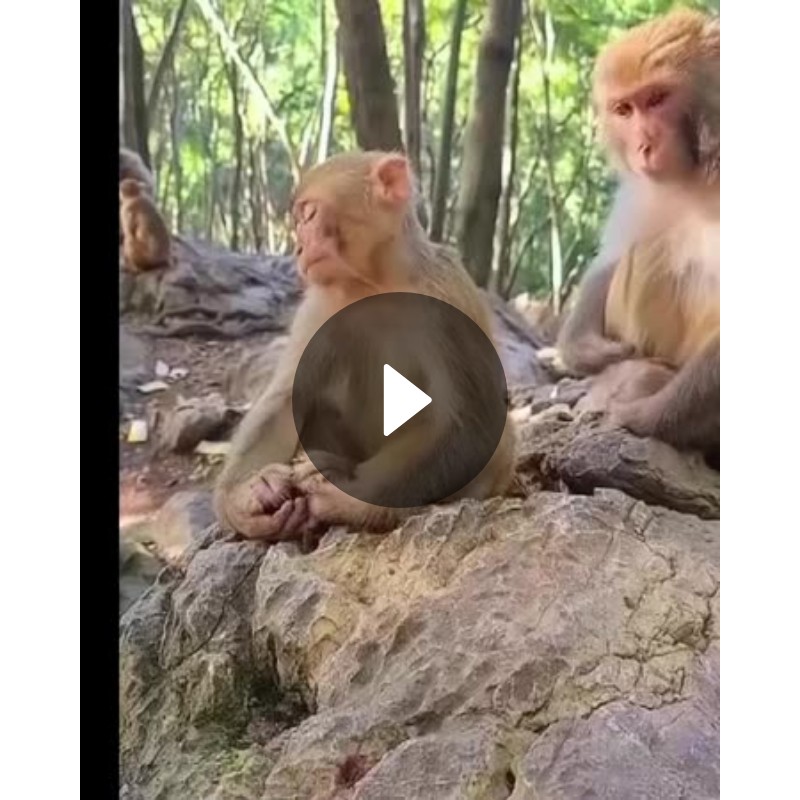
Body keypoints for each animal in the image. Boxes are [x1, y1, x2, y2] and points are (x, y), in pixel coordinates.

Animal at [213, 150, 516, 541]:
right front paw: (245, 498)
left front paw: (348, 499)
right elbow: (287, 396)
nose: (298, 248)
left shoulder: (448, 298)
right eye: (299, 221)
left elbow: (472, 422)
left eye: (309, 215)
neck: (375, 284)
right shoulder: (319, 305)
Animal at [557, 9, 719, 457]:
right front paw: (585, 349)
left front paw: (645, 418)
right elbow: (612, 255)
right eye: (625, 109)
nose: (644, 145)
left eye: (657, 99)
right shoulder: (640, 186)